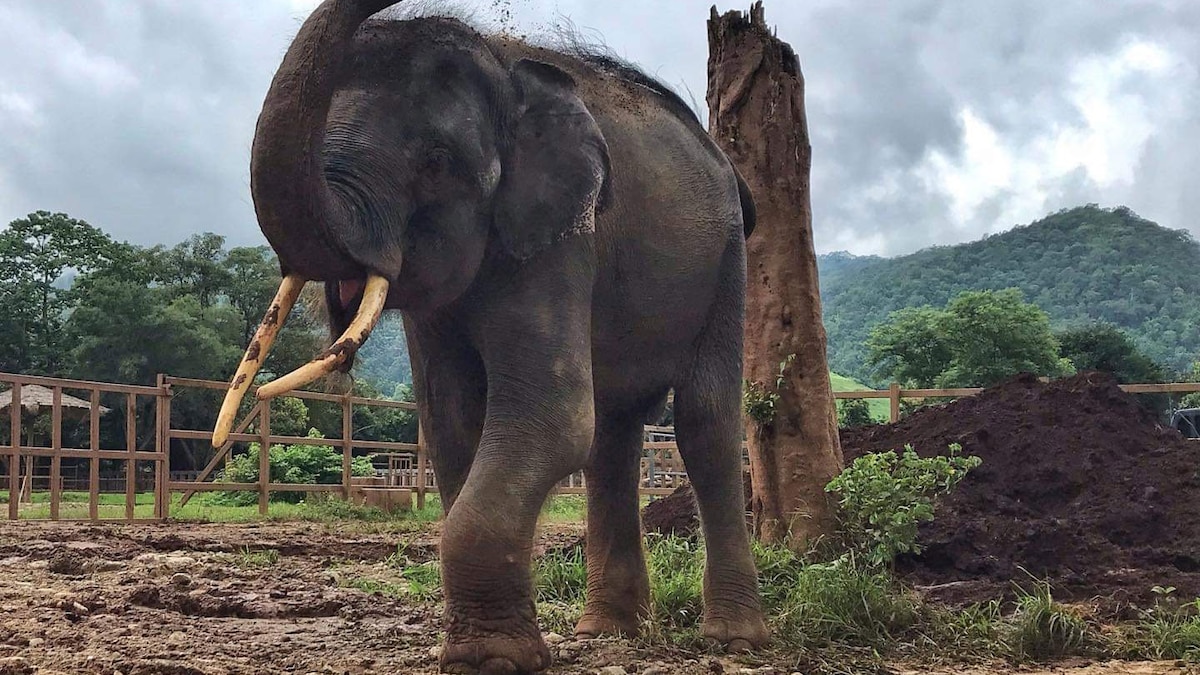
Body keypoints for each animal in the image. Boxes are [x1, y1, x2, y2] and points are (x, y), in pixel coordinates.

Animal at [212, 0, 769, 671]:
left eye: (435, 162)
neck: (502, 67)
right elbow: (451, 421)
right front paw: (486, 652)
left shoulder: (560, 241)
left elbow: (551, 419)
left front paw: (490, 660)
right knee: (611, 431)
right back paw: (605, 635)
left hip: (728, 264)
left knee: (703, 421)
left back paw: (733, 641)